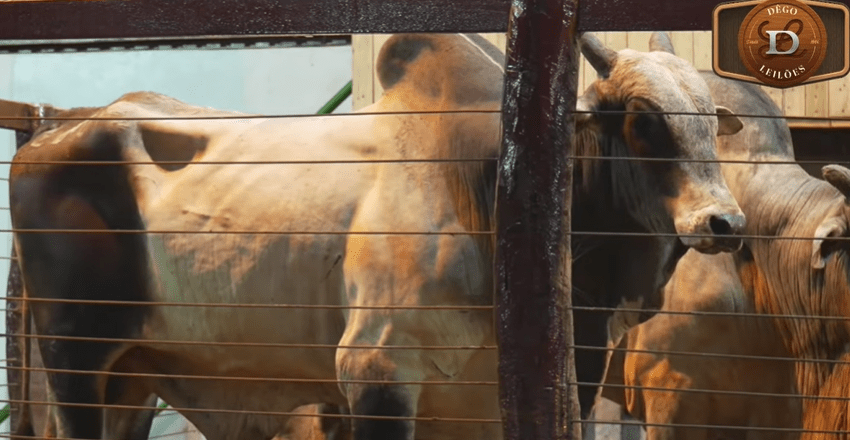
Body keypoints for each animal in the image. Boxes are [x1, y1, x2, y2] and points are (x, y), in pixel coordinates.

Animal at [7, 32, 745, 440]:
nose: (726, 223)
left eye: (712, 119)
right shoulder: (375, 371)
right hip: (75, 359)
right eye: (644, 120)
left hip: (134, 373)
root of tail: (52, 131)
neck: (485, 188)